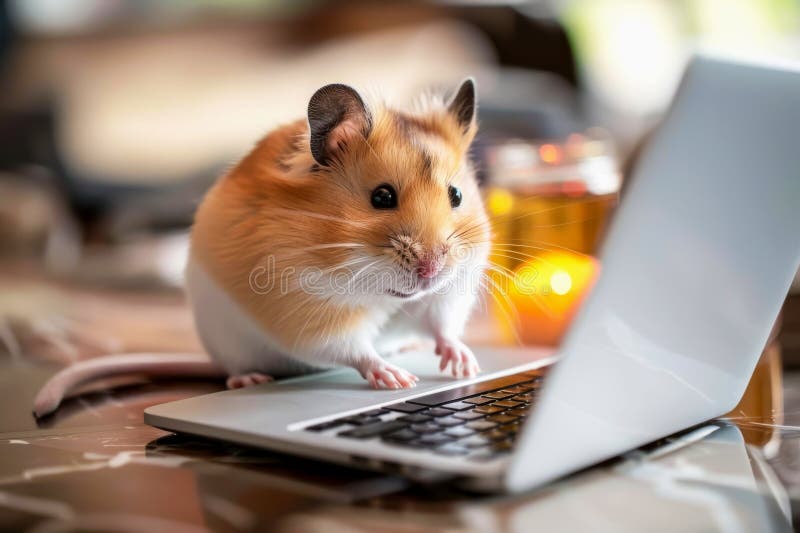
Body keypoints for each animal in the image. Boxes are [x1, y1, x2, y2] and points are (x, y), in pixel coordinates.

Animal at [33, 78, 491, 417]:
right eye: (381, 197)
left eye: (456, 195)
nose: (431, 269)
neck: (387, 292)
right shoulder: (314, 311)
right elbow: (355, 349)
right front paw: (398, 379)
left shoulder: (444, 298)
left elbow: (442, 327)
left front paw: (465, 365)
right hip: (225, 337)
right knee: (234, 368)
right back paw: (251, 380)